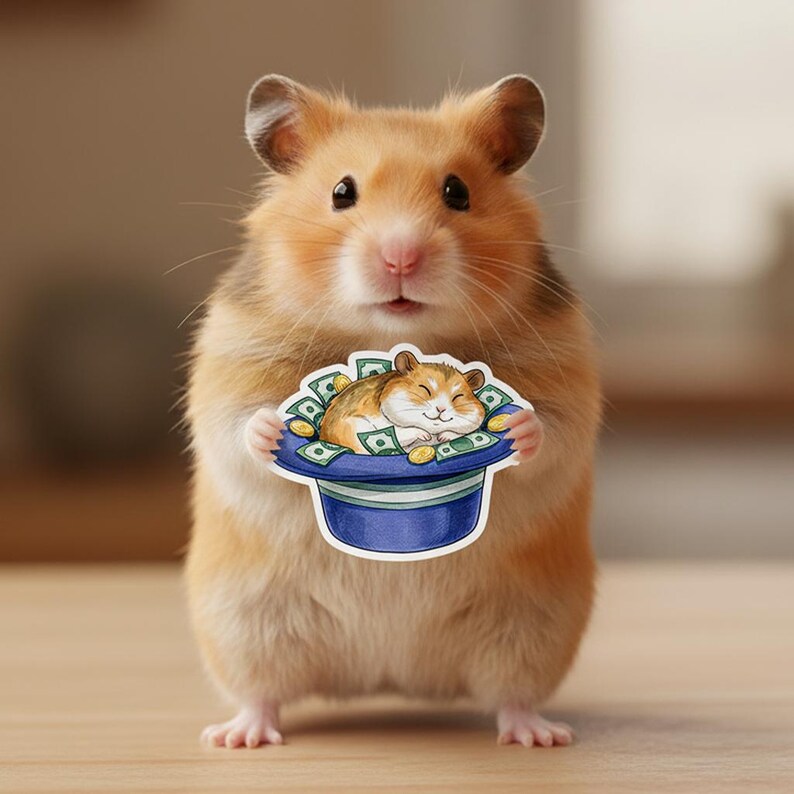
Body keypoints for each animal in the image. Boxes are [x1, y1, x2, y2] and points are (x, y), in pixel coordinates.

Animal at [319, 350, 485, 452]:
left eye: (458, 396)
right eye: (424, 388)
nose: (441, 409)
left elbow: (459, 432)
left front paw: (443, 436)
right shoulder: (378, 431)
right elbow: (403, 432)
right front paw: (425, 435)